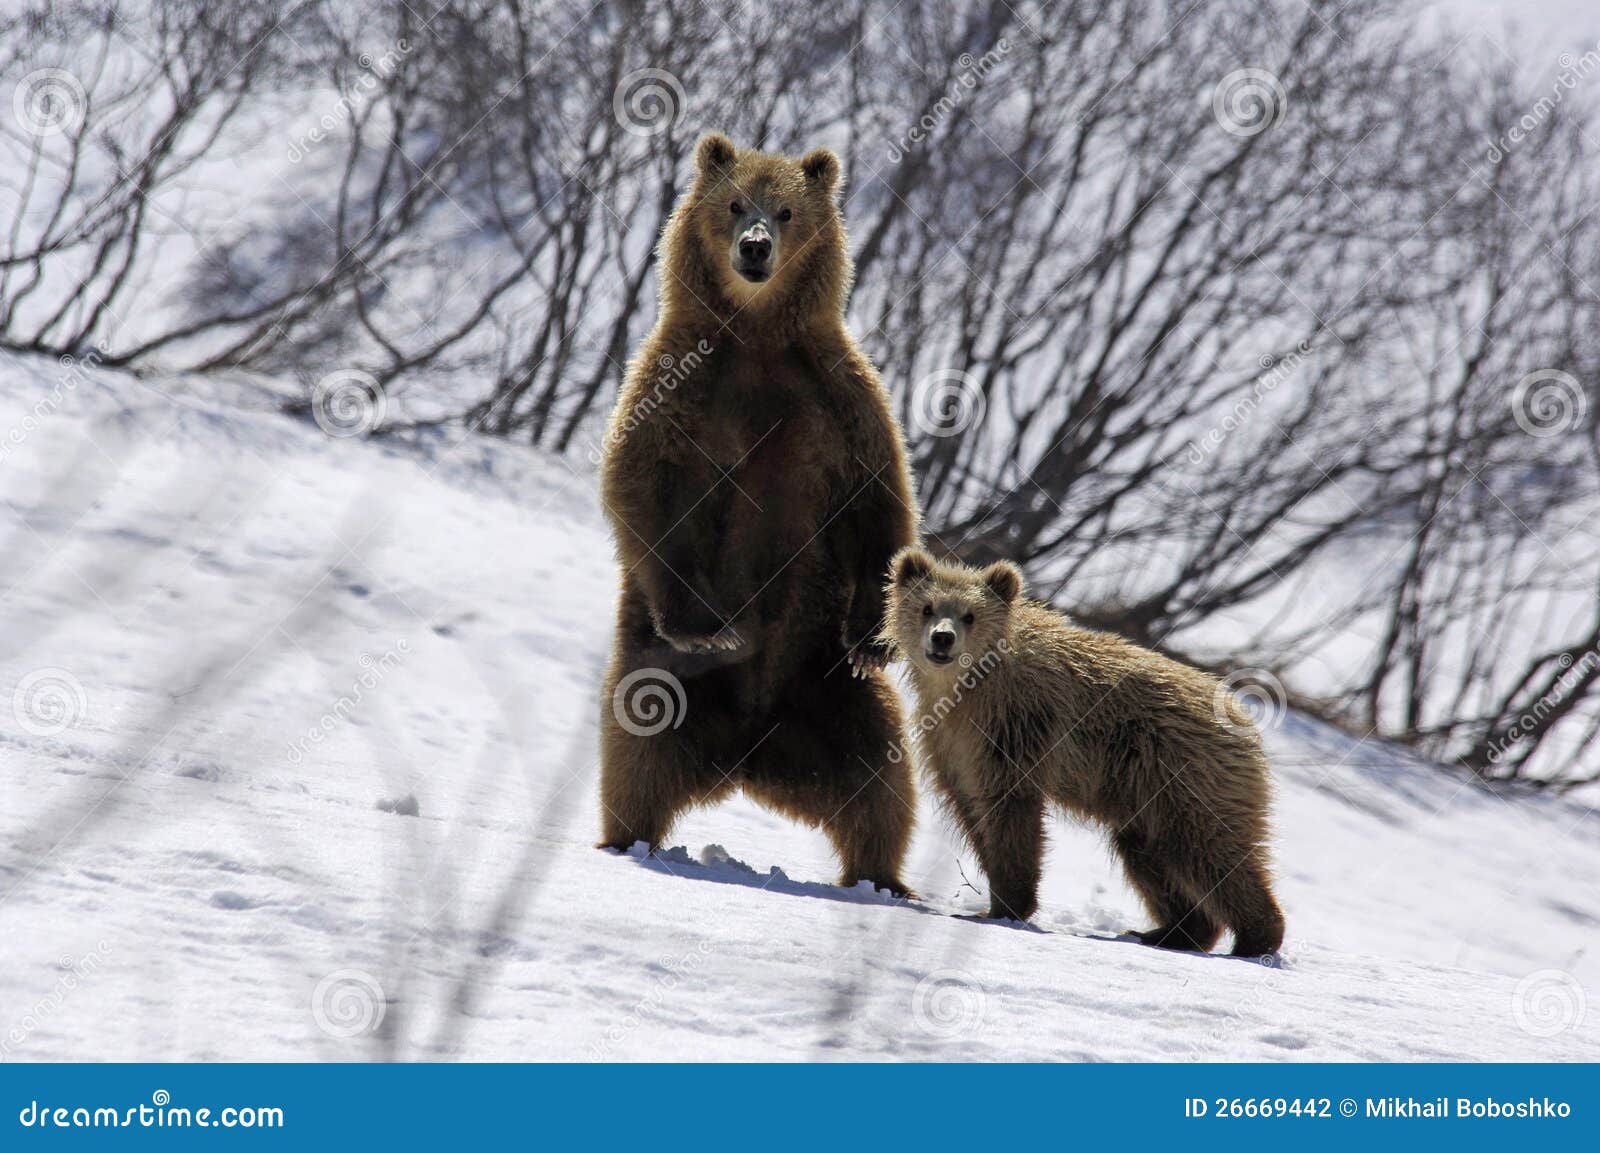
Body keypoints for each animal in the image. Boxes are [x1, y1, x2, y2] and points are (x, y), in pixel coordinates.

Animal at [596, 133, 919, 895]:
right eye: (735, 203)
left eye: (788, 210)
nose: (755, 248)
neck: (757, 334)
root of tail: (748, 752)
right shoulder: (680, 385)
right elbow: (641, 486)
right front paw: (704, 625)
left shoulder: (839, 397)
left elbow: (880, 503)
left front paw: (876, 634)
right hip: (660, 681)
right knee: (636, 755)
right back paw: (626, 839)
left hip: (830, 691)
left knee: (882, 782)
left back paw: (881, 877)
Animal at [883, 547, 1286, 956]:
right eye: (927, 607)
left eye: (970, 614)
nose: (943, 639)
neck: (968, 688)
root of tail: (1242, 713)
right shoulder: (952, 744)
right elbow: (972, 809)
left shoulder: (1016, 727)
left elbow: (1012, 812)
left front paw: (1004, 906)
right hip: (1144, 799)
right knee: (1148, 853)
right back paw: (1168, 931)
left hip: (1187, 773)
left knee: (1210, 848)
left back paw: (1255, 939)